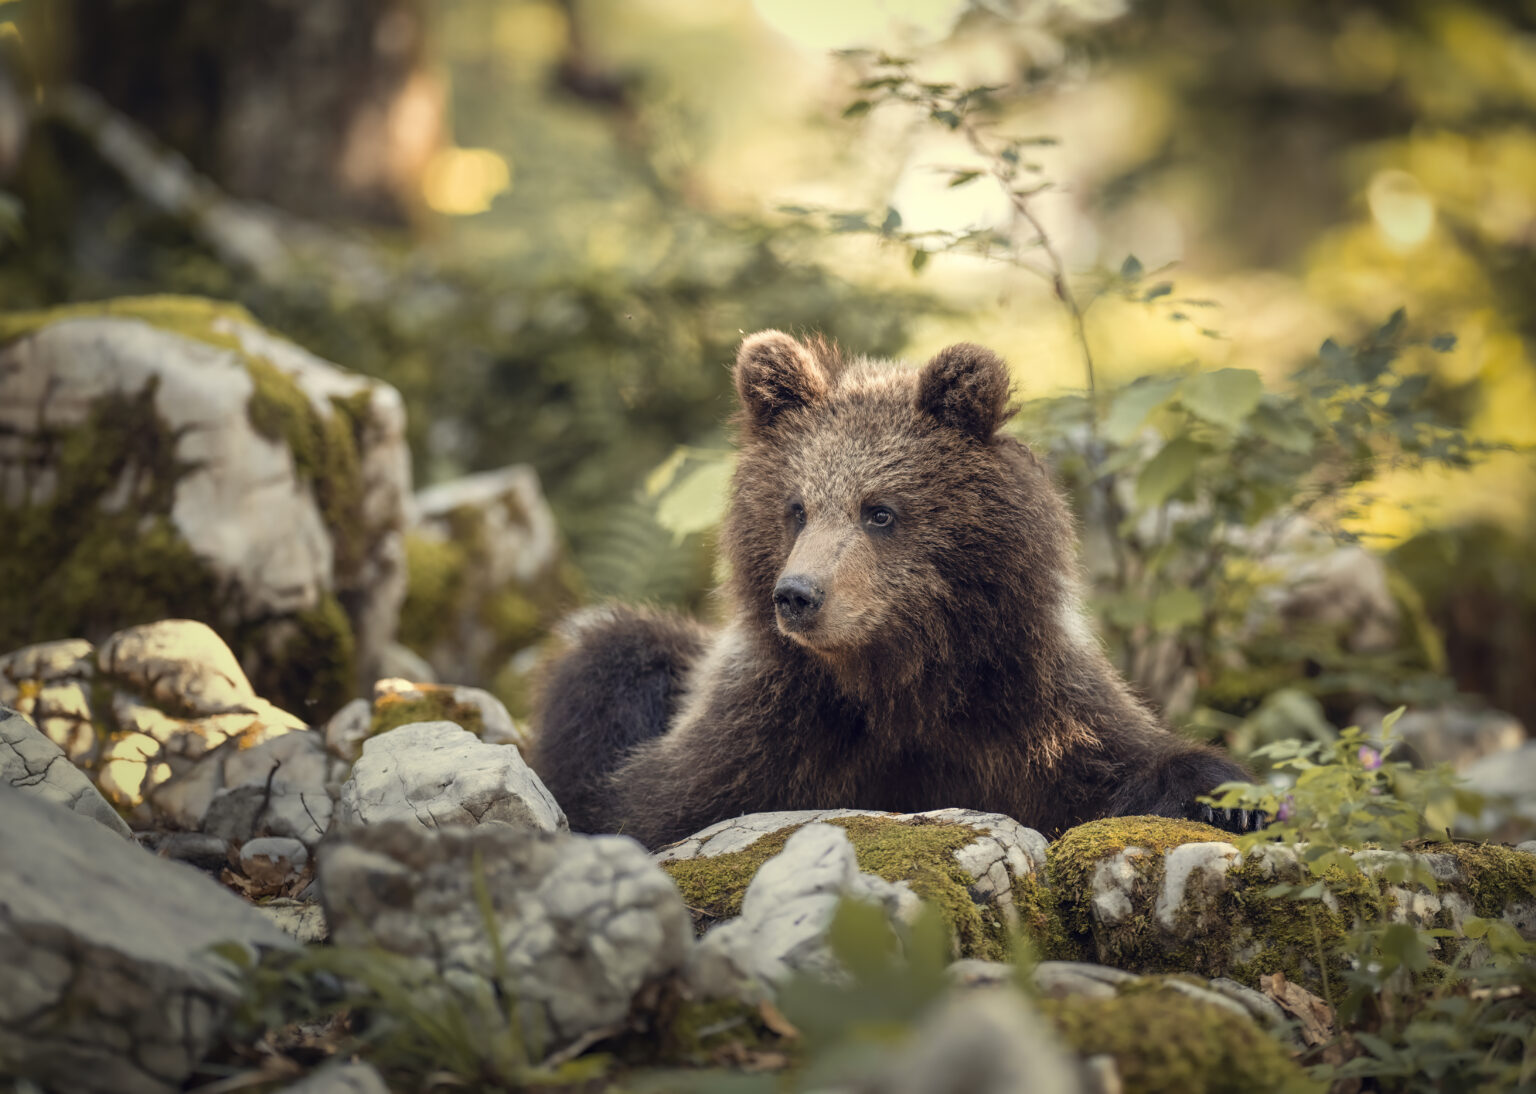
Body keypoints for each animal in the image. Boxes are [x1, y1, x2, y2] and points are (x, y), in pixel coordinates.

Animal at [532, 330, 1259, 850]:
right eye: (796, 508)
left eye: (878, 511)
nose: (796, 595)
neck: (896, 679)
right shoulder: (765, 728)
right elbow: (645, 806)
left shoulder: (1029, 705)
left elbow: (1124, 761)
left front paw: (1231, 801)